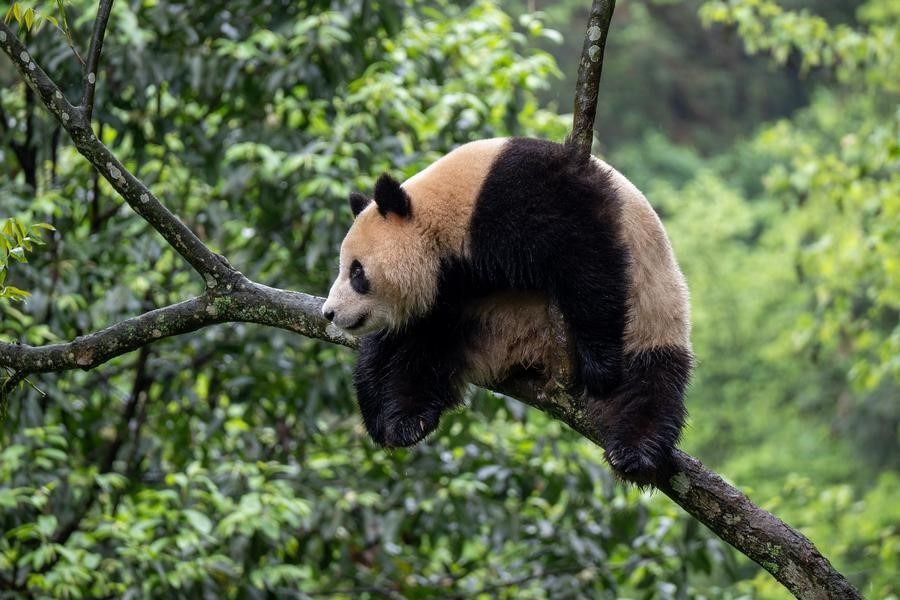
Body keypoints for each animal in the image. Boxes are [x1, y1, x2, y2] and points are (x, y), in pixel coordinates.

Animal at [322, 137, 692, 481]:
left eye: (356, 272)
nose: (330, 313)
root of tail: (526, 353)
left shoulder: (529, 194)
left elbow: (586, 258)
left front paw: (599, 366)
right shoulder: (450, 287)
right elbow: (399, 339)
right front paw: (381, 412)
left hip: (652, 319)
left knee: (649, 387)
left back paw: (634, 452)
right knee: (425, 354)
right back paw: (408, 420)